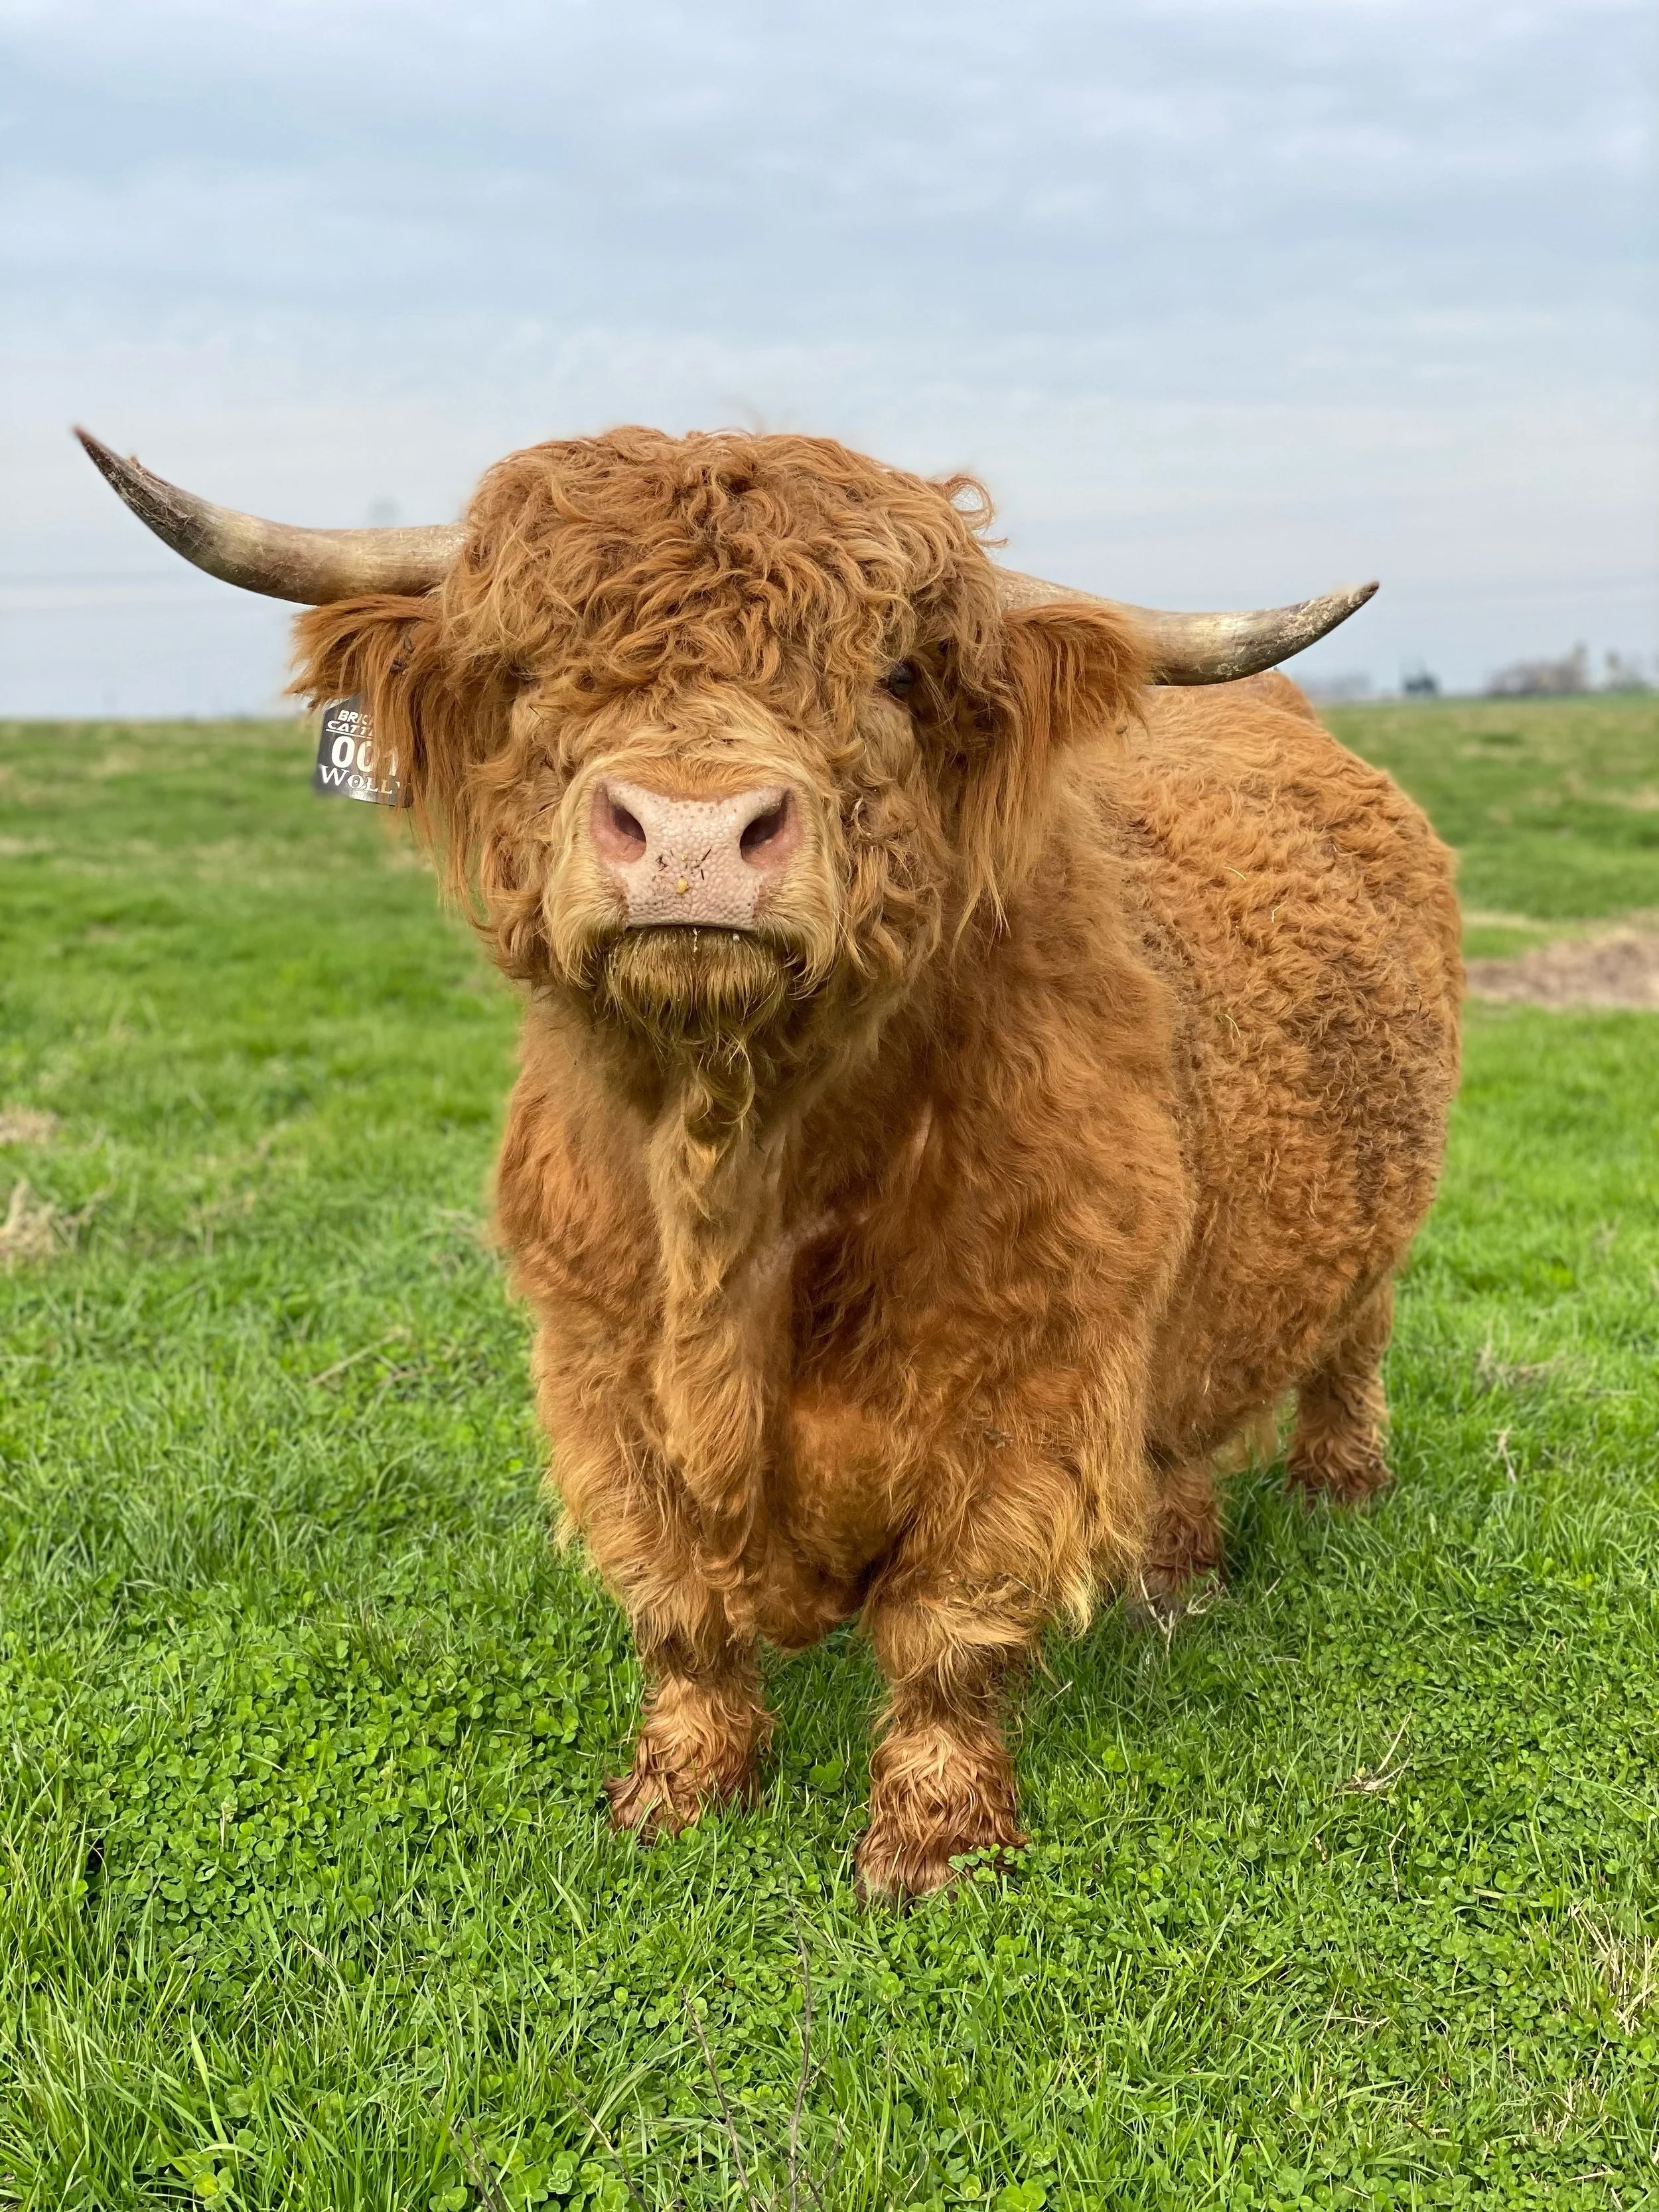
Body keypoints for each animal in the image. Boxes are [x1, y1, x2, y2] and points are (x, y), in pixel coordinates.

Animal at [80, 424, 1462, 1897]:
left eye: (897, 675)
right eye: (525, 665)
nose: (692, 831)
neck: (734, 1178)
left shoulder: (1031, 1375)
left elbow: (950, 1619)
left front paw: (930, 1840)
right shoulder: (597, 1367)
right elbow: (676, 1605)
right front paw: (679, 1788)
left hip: (1372, 1226)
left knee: (1346, 1341)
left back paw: (1335, 1489)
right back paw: (1176, 1571)